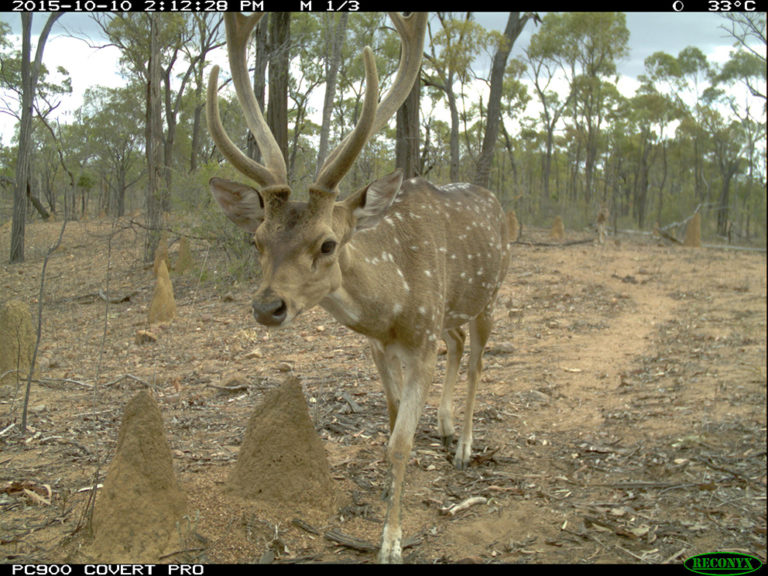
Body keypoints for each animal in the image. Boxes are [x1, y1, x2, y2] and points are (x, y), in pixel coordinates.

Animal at [206, 12, 510, 563]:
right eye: (257, 239)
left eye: (327, 243)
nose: (267, 306)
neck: (392, 305)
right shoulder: (379, 345)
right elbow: (390, 421)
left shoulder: (420, 340)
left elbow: (400, 444)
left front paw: (391, 542)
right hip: (452, 310)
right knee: (458, 345)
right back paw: (446, 426)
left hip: (491, 293)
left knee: (479, 358)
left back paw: (464, 446)